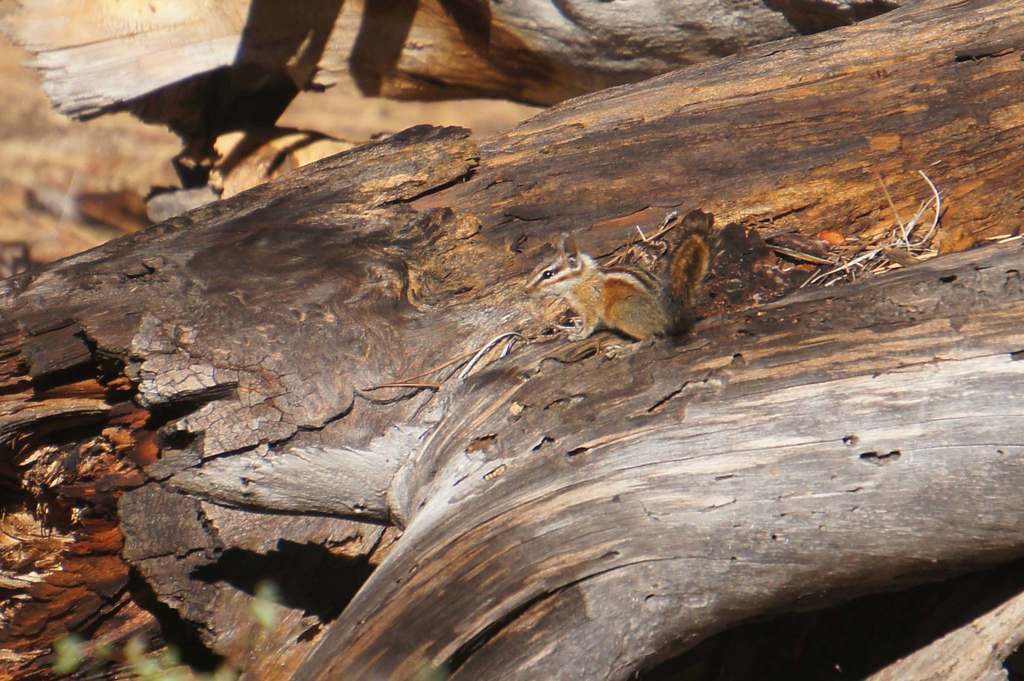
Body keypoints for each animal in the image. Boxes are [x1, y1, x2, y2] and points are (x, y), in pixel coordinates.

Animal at [526, 210, 714, 341]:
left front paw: (579, 334)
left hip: (621, 309)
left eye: (548, 274)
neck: (581, 281)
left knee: (650, 338)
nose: (526, 290)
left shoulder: (589, 307)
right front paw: (575, 325)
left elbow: (590, 323)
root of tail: (671, 317)